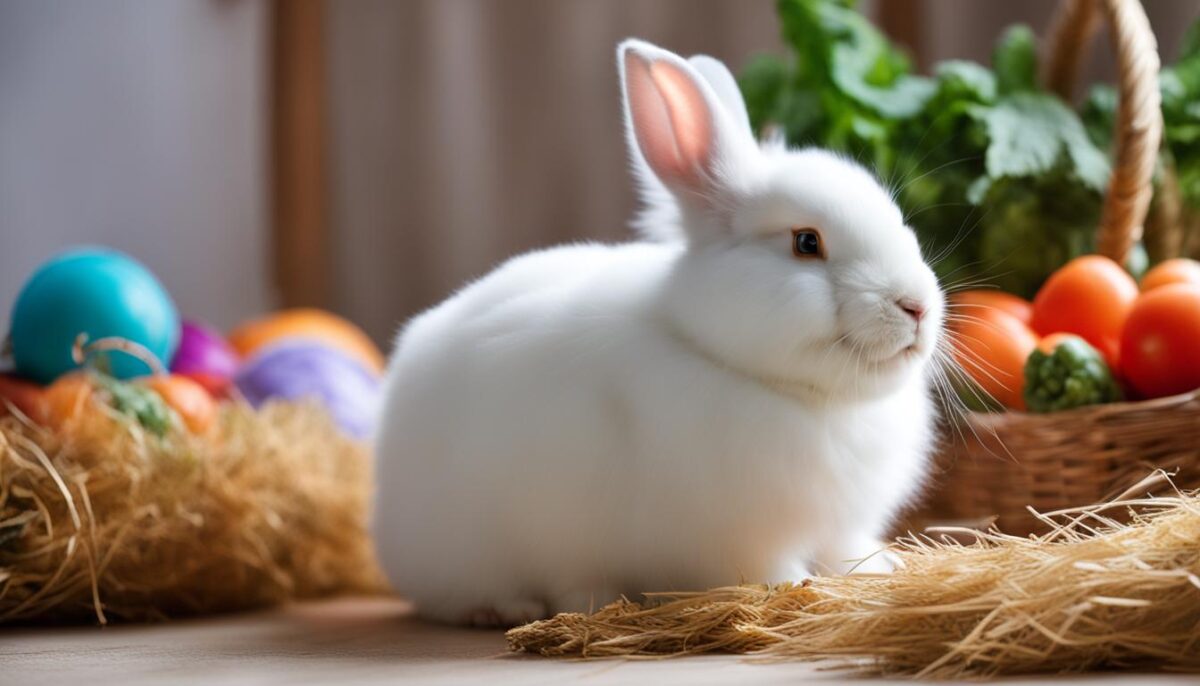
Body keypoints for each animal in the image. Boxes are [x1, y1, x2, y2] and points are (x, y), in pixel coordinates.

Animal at [372, 38, 945, 627]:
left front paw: (878, 569)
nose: (918, 307)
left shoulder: (840, 523)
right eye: (806, 242)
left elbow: (844, 549)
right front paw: (792, 584)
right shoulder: (739, 537)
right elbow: (770, 566)